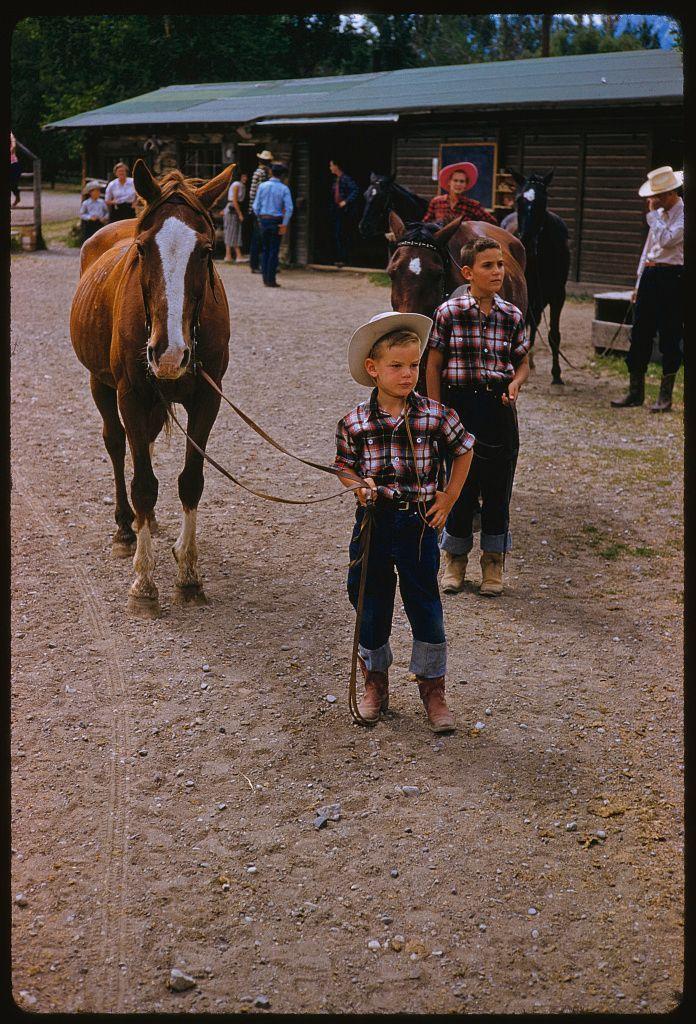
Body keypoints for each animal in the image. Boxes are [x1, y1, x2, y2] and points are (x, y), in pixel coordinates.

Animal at [70, 159, 234, 615]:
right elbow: (143, 485)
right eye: (142, 249)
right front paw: (144, 583)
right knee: (116, 444)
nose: (169, 352)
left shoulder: (208, 399)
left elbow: (191, 481)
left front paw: (189, 574)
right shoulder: (130, 395)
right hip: (101, 385)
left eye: (207, 250)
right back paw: (126, 530)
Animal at [506, 169, 571, 385]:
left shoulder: (558, 295)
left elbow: (554, 335)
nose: (525, 239)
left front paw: (557, 375)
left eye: (543, 200)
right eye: (519, 199)